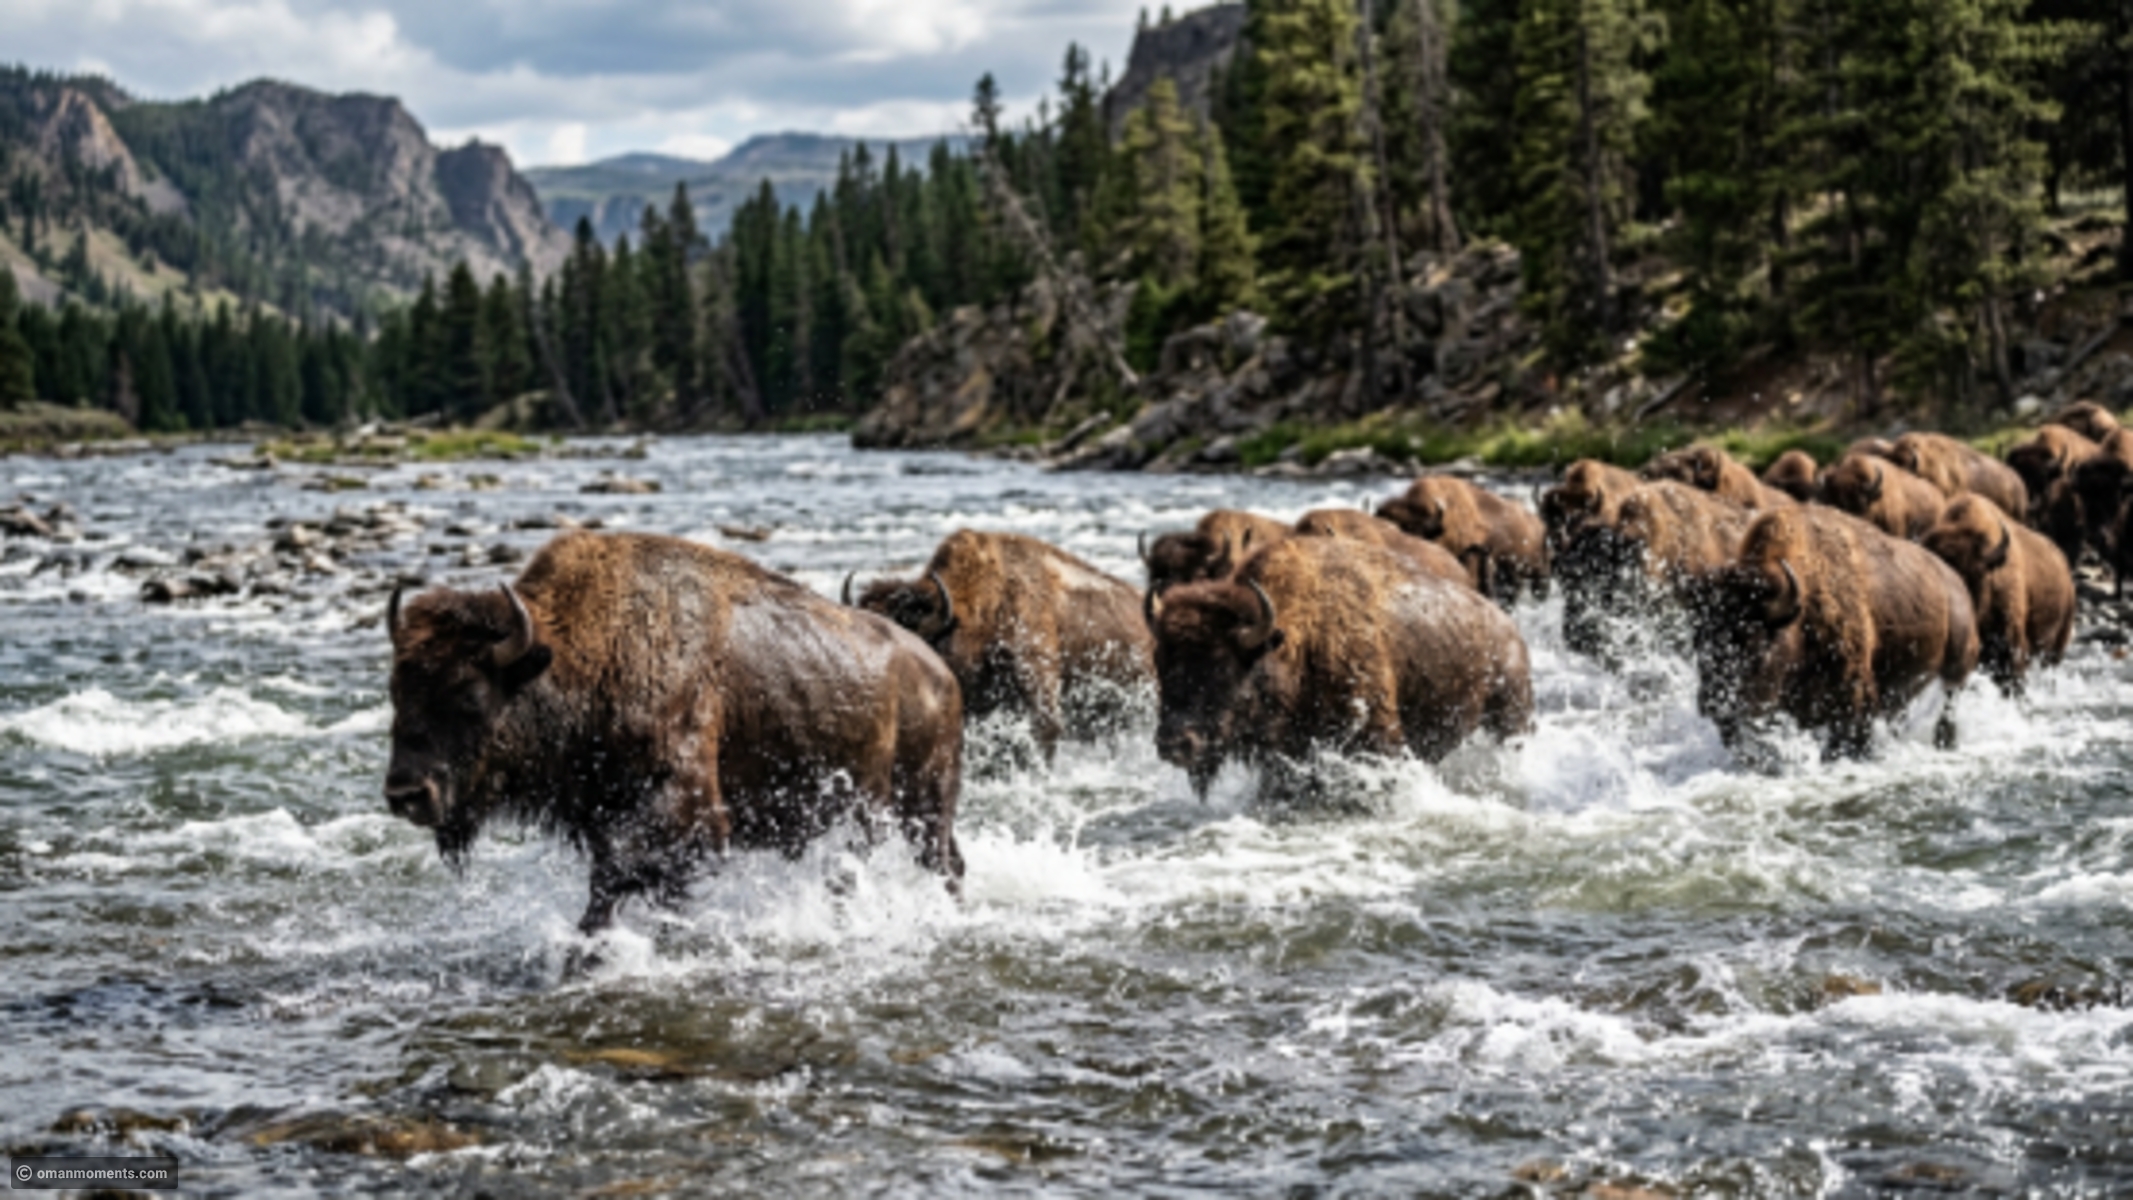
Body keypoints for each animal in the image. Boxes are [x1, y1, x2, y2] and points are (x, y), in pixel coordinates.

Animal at [384, 532, 965, 934]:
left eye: (469, 696)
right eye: (396, 691)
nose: (406, 794)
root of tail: (939, 670)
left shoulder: (684, 817)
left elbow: (626, 885)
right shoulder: (605, 817)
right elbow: (610, 889)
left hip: (922, 806)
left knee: (939, 862)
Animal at [1145, 536, 1533, 800]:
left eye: (1224, 668)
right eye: (1161, 664)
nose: (1174, 745)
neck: (1296, 641)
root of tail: (1508, 627)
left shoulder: (1376, 741)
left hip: (1511, 718)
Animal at [1693, 506, 1979, 761]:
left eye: (1757, 641)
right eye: (1700, 641)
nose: (1713, 704)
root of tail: (1956, 581)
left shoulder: (1852, 699)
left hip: (1958, 664)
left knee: (1950, 701)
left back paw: (1944, 742)